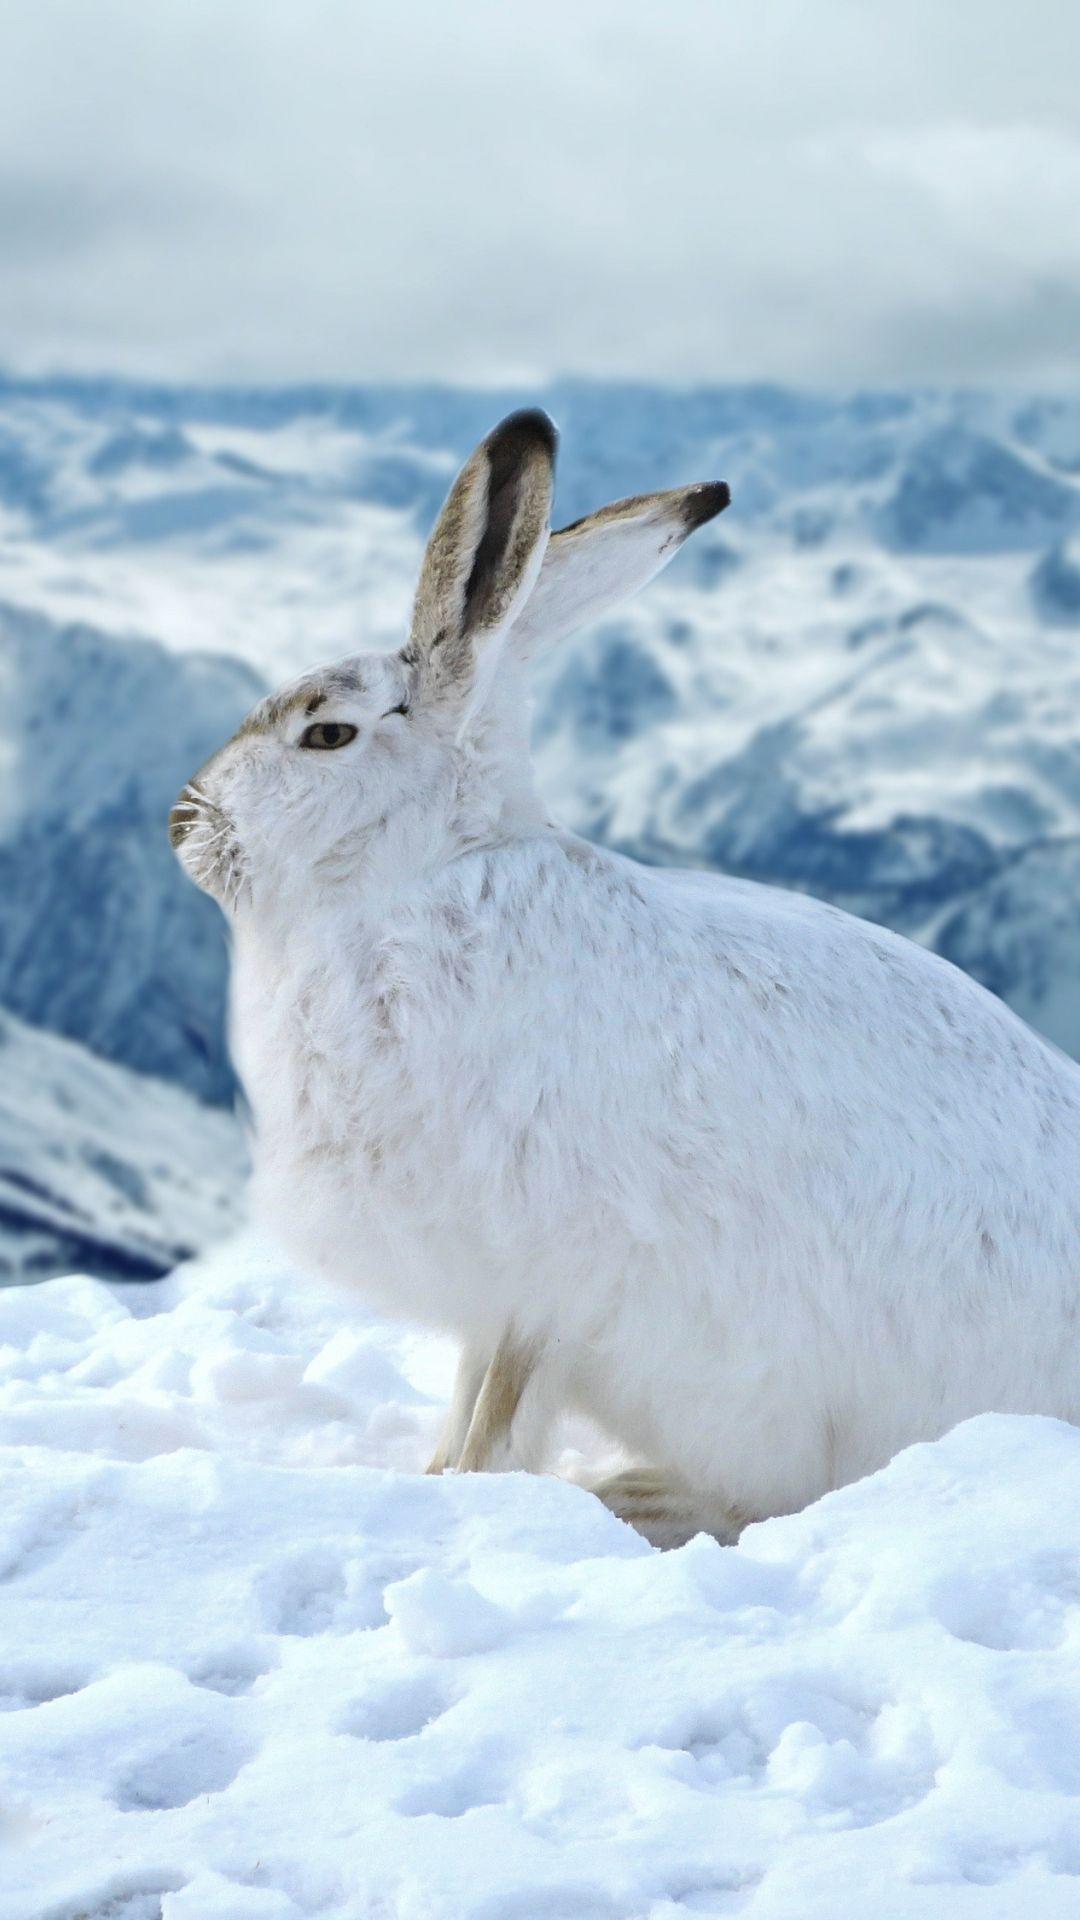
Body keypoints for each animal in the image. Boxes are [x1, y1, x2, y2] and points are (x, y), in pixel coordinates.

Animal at [171, 408, 1080, 1548]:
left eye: (326, 733)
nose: (183, 828)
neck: (420, 875)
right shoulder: (490, 1299)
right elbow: (465, 1393)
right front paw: (431, 1476)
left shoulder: (540, 1280)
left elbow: (502, 1409)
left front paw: (471, 1494)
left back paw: (636, 1497)